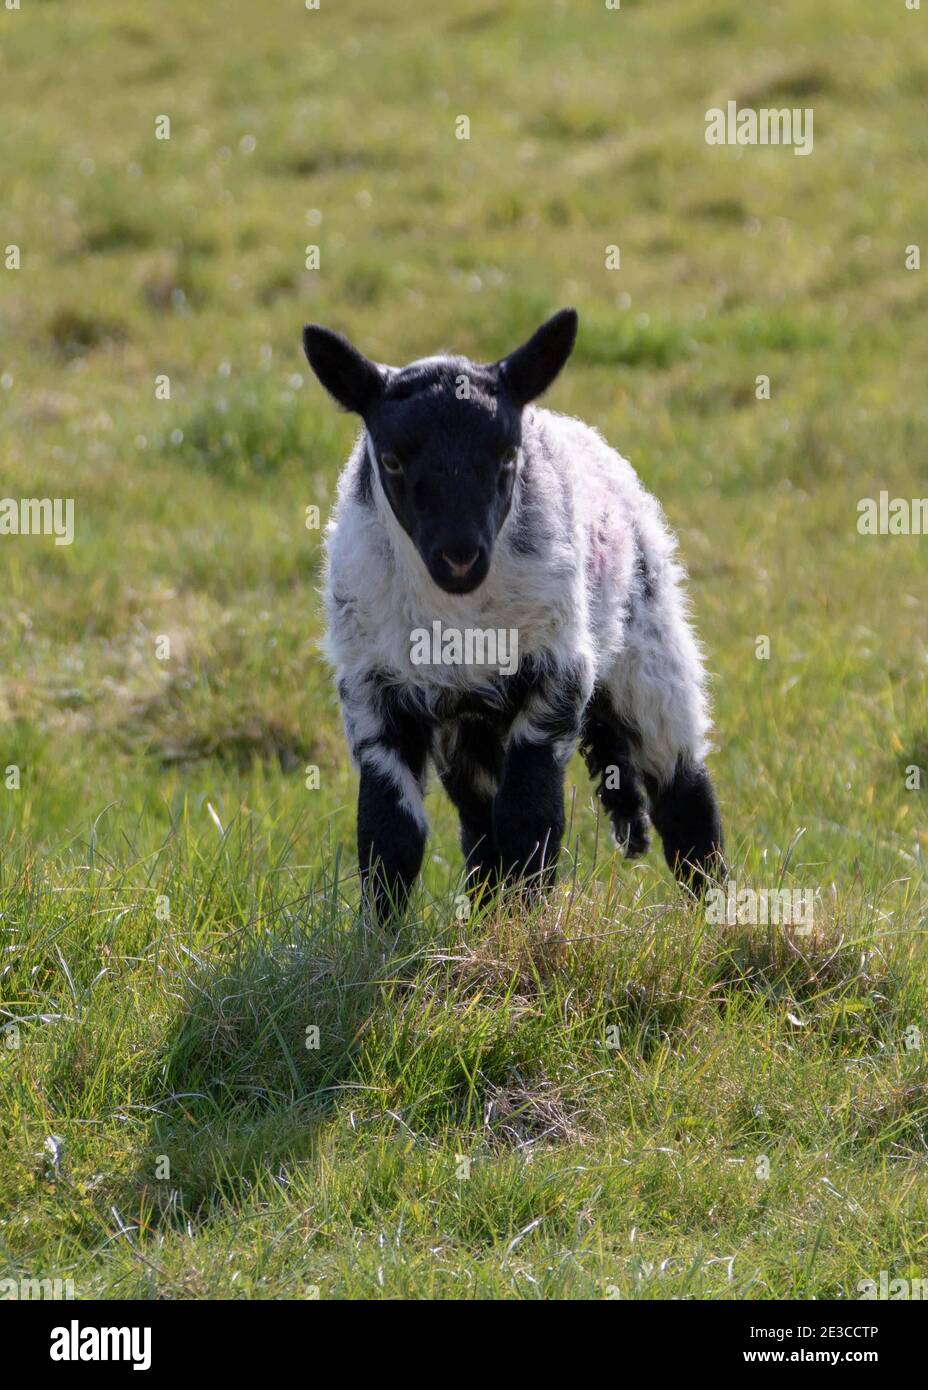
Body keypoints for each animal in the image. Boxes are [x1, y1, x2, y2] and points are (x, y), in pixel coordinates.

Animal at [302, 308, 724, 921]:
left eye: (506, 456)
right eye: (392, 460)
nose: (459, 556)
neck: (458, 614)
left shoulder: (557, 669)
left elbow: (530, 816)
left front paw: (529, 923)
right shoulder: (372, 689)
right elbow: (388, 832)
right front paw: (380, 935)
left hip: (651, 647)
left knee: (684, 795)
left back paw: (715, 916)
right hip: (467, 732)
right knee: (479, 830)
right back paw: (486, 910)